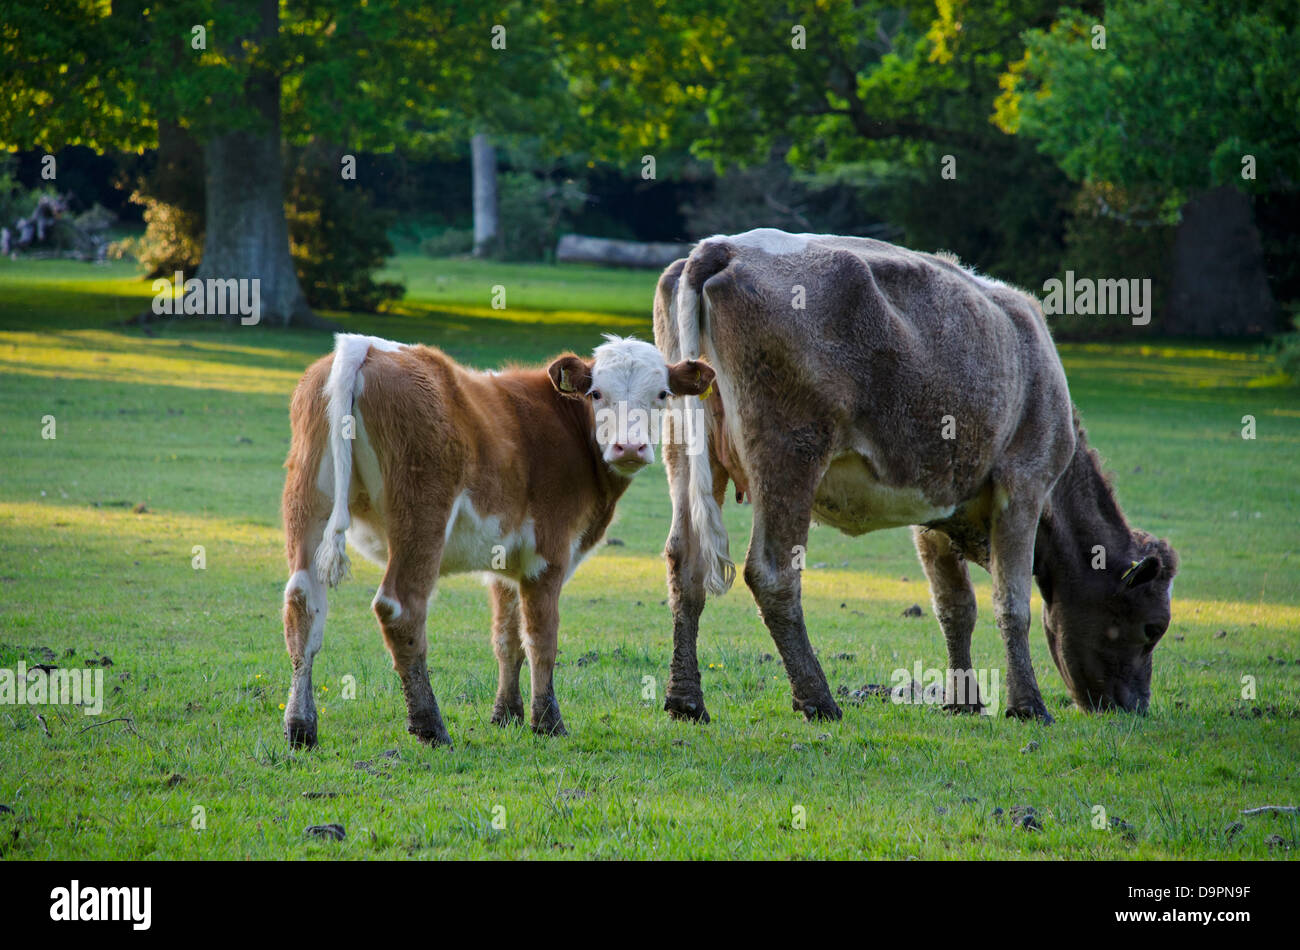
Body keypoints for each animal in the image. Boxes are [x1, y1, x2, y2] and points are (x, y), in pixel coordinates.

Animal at [279, 333, 714, 748]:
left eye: (662, 394)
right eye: (596, 393)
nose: (629, 447)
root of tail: (365, 346)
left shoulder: (507, 560)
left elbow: (508, 636)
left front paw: (507, 714)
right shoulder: (548, 553)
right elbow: (541, 638)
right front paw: (547, 722)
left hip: (308, 500)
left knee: (303, 605)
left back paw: (301, 727)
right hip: (421, 515)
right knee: (401, 609)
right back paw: (430, 726)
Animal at [653, 229, 1178, 725]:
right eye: (1152, 627)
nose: (1135, 707)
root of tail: (726, 247)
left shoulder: (936, 510)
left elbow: (956, 607)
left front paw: (964, 701)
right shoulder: (1025, 485)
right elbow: (1011, 605)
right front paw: (1027, 705)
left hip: (686, 453)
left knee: (685, 562)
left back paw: (686, 701)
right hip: (789, 455)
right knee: (772, 573)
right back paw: (818, 699)